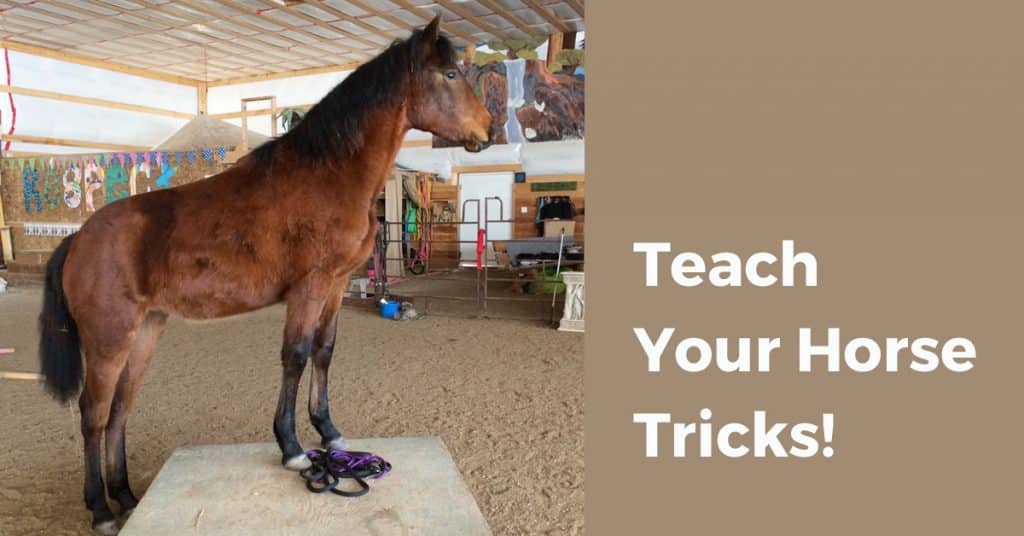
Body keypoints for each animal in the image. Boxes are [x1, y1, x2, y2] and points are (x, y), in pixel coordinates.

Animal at [37, 17, 491, 535]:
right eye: (451, 75)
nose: (488, 128)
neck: (329, 173)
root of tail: (79, 238)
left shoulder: (335, 286)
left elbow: (324, 352)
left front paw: (329, 434)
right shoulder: (309, 288)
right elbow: (295, 356)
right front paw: (292, 448)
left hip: (146, 330)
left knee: (119, 411)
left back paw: (128, 498)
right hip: (109, 338)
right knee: (93, 415)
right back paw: (99, 508)